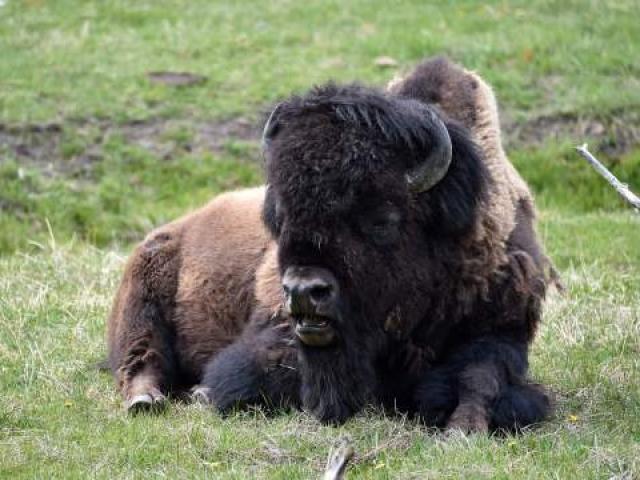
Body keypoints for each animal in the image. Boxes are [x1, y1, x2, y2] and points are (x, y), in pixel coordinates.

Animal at [107, 57, 554, 432]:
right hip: (141, 308)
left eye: (382, 219)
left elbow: (482, 378)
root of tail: (169, 232)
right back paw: (145, 401)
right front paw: (203, 393)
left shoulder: (500, 332)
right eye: (282, 218)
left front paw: (463, 428)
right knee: (140, 359)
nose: (305, 291)